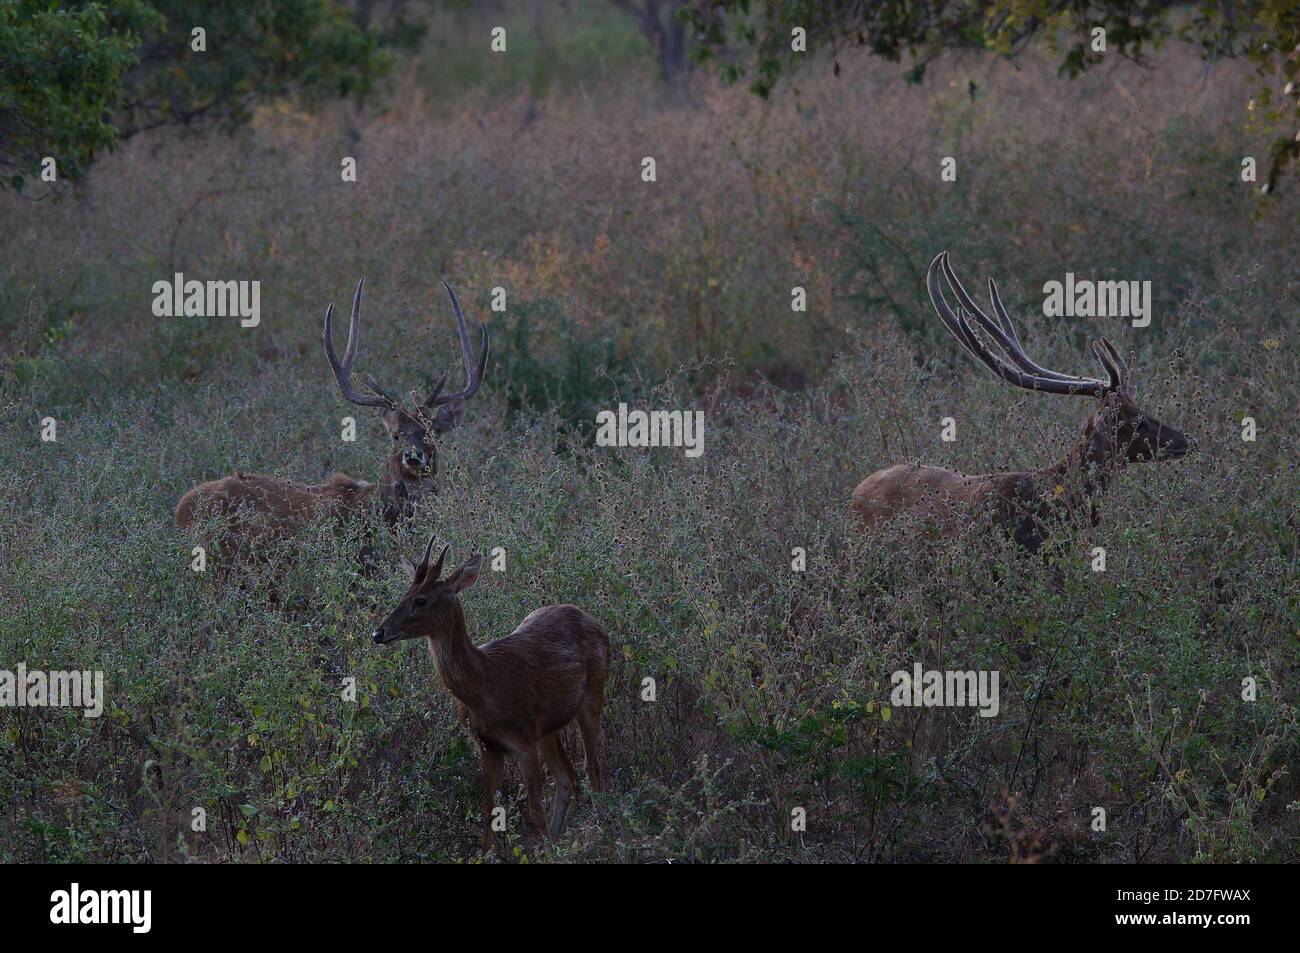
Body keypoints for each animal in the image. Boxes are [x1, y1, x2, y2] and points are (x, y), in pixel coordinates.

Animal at [372, 535, 610, 849]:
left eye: (420, 600)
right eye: (403, 595)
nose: (378, 633)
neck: (484, 688)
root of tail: (594, 621)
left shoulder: (522, 739)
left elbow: (535, 810)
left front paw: (547, 850)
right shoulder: (487, 745)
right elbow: (488, 814)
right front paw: (490, 852)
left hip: (594, 691)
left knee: (591, 768)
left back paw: (601, 828)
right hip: (548, 729)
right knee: (566, 777)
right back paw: (560, 839)